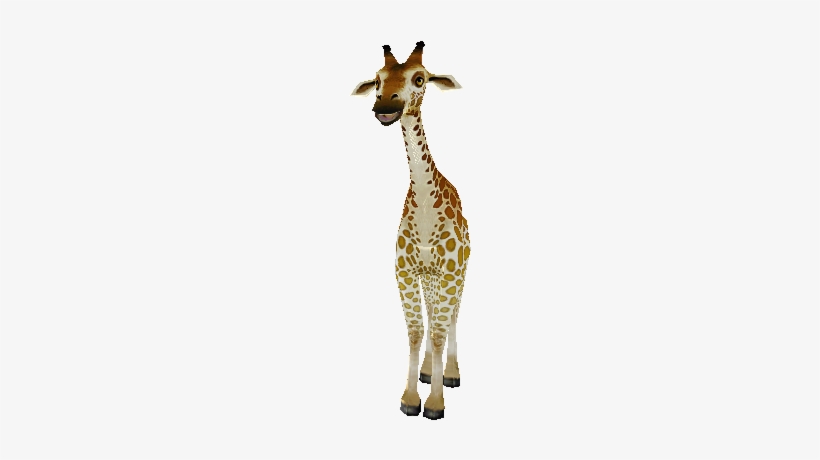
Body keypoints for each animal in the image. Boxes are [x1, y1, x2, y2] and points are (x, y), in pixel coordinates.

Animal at [351, 41, 470, 420]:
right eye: (377, 79)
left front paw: (434, 403)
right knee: (435, 318)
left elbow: (438, 331)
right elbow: (417, 331)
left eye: (420, 78)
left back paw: (450, 374)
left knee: (452, 317)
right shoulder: (404, 271)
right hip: (430, 278)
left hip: (459, 274)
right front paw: (409, 397)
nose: (385, 107)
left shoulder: (450, 272)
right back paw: (429, 371)